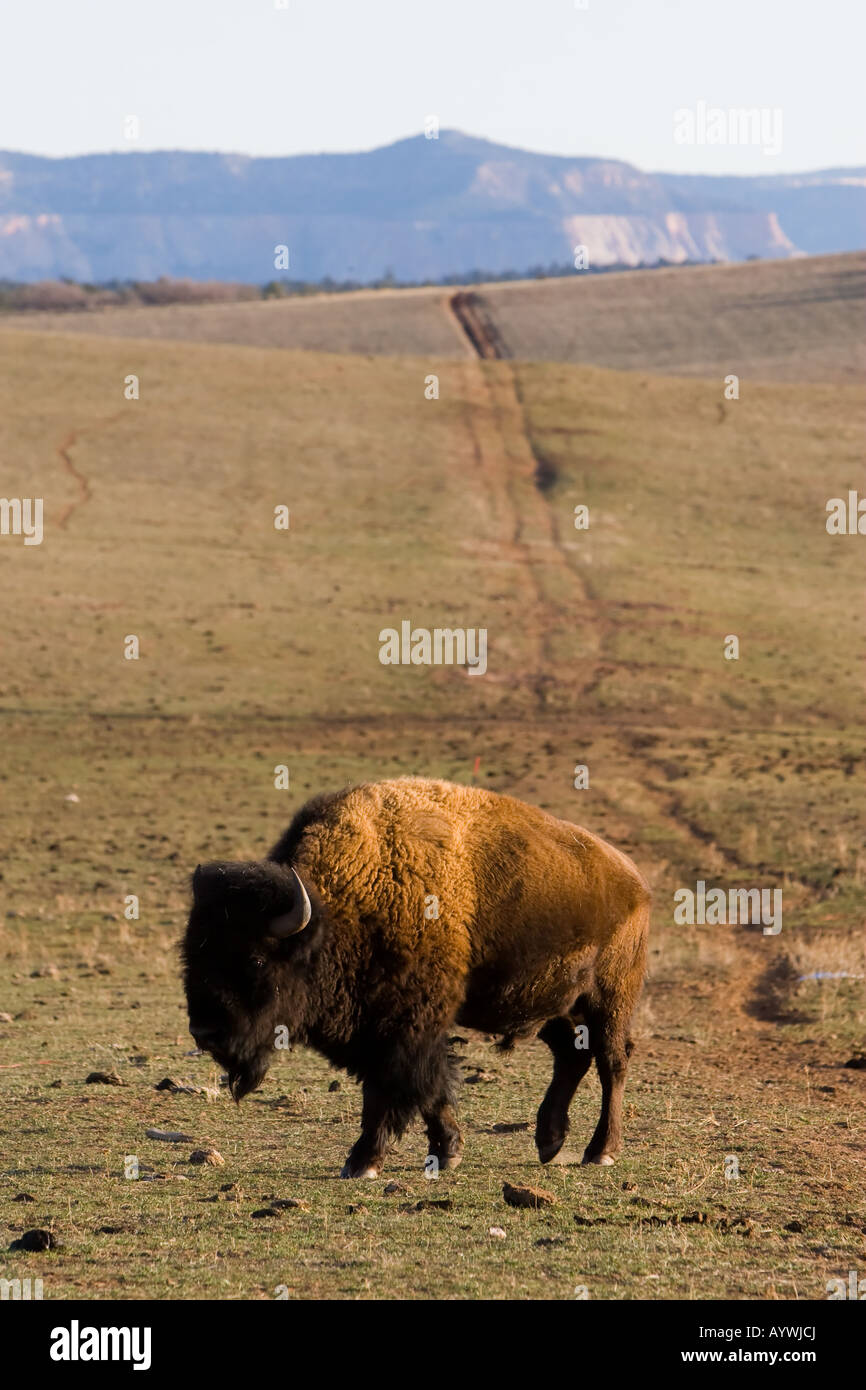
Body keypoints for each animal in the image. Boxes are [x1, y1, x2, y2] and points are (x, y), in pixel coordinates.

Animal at [182, 777, 650, 1177]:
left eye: (256, 959)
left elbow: (395, 1086)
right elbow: (428, 1088)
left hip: (609, 998)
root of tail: (632, 877)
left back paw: (601, 1151)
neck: (343, 904)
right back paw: (549, 1143)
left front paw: (364, 1161)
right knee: (572, 1056)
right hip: (553, 1005)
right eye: (191, 955)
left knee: (612, 1063)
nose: (205, 1032)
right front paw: (447, 1151)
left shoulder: (404, 1026)